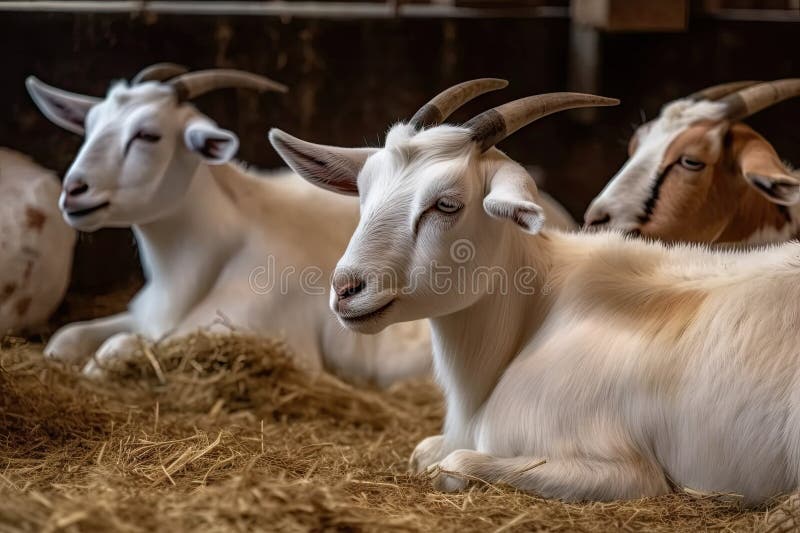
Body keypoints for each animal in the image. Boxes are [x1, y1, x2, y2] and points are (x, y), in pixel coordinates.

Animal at [27, 63, 429, 386]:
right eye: (90, 126)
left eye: (148, 135)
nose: (73, 190)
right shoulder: (145, 316)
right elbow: (65, 338)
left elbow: (115, 348)